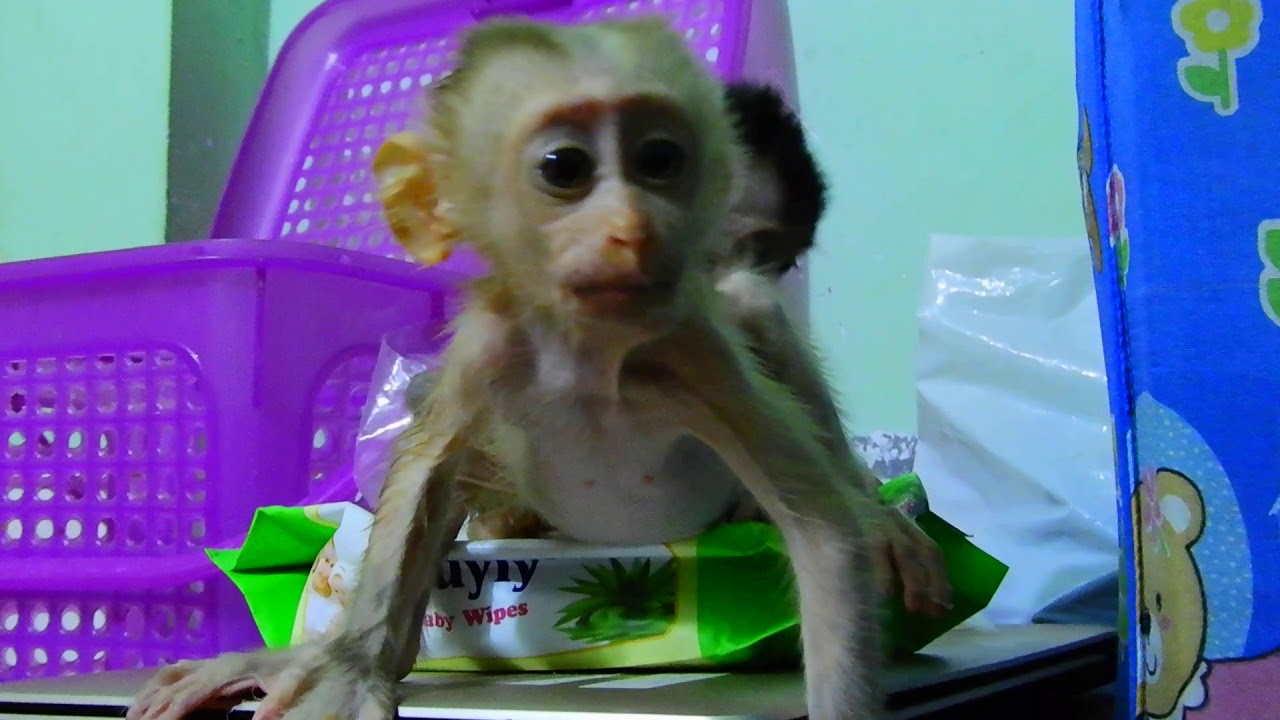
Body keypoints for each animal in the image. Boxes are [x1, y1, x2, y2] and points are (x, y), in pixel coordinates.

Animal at [130, 18, 886, 720]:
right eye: (564, 167)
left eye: (660, 159)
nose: (633, 229)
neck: (588, 355)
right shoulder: (490, 344)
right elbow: (426, 470)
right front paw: (353, 668)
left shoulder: (696, 349)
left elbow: (827, 535)